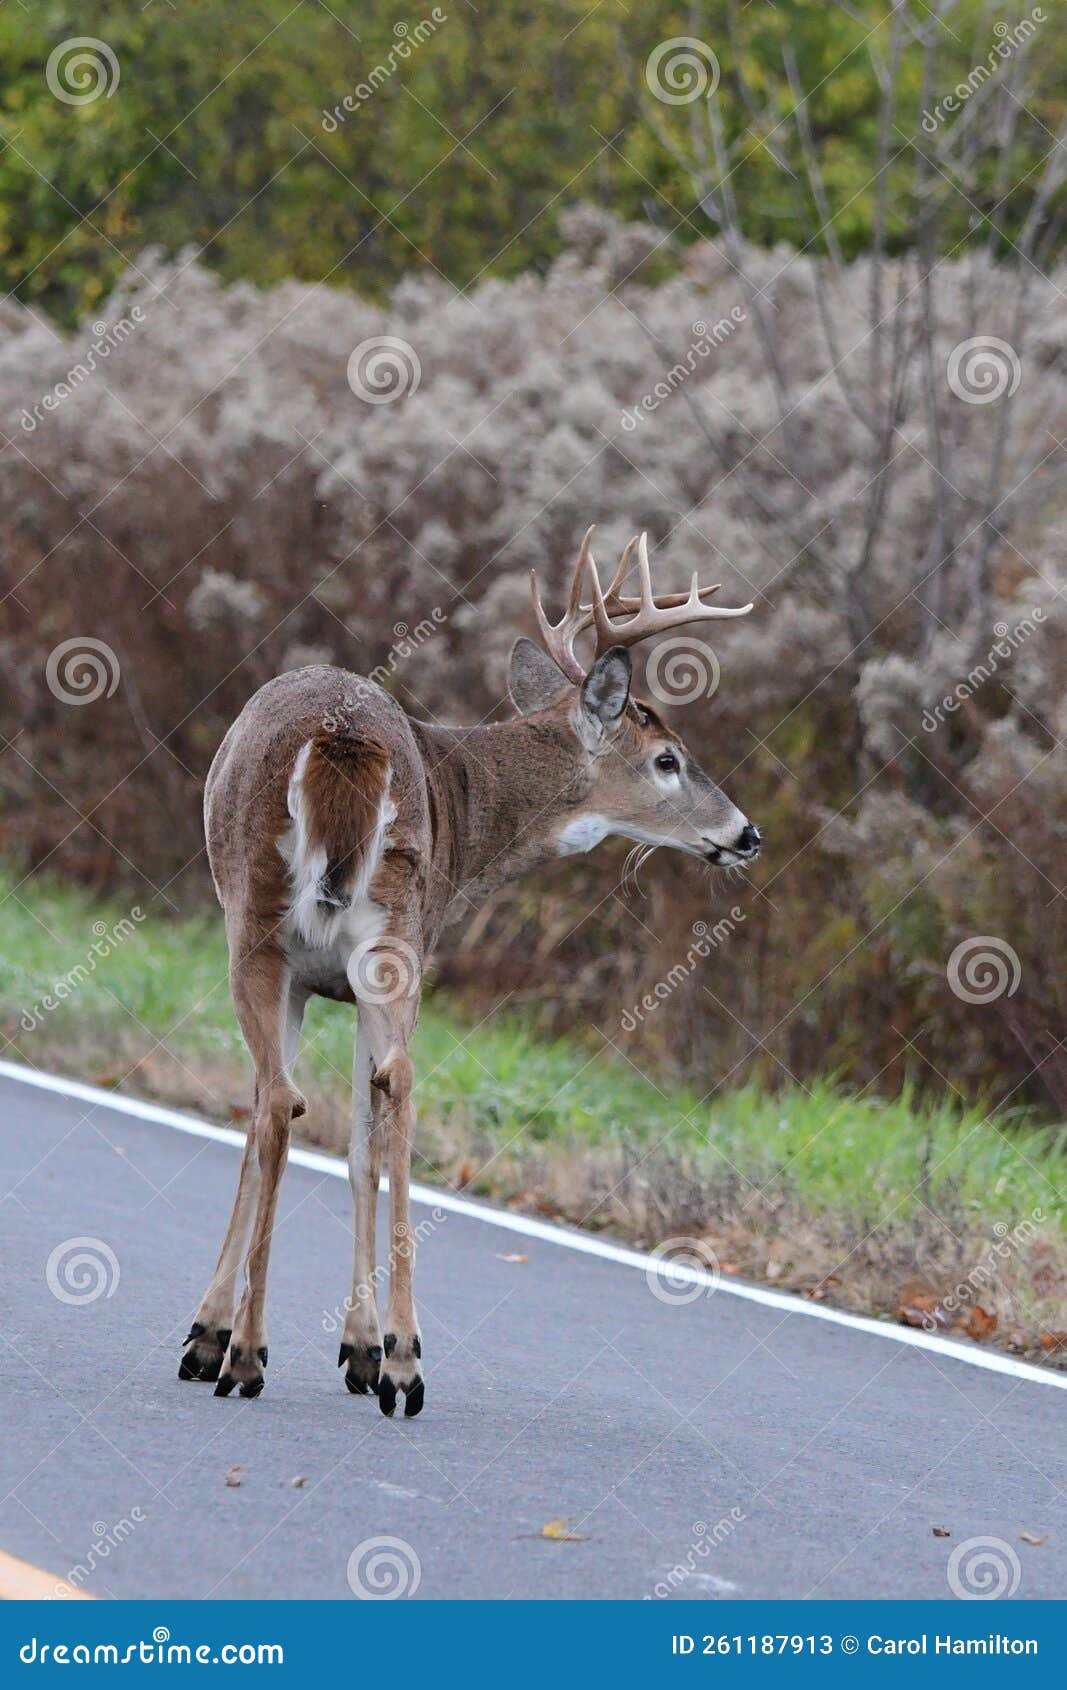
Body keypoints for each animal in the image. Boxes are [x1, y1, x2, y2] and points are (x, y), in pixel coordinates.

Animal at [178, 529, 760, 1415]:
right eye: (668, 759)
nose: (746, 833)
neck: (463, 800)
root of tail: (345, 745)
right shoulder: (343, 975)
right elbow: (347, 1144)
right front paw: (351, 1347)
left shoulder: (313, 977)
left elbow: (302, 1137)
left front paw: (247, 1337)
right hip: (369, 938)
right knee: (375, 1087)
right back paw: (379, 1363)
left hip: (267, 926)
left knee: (291, 1100)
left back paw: (267, 1355)